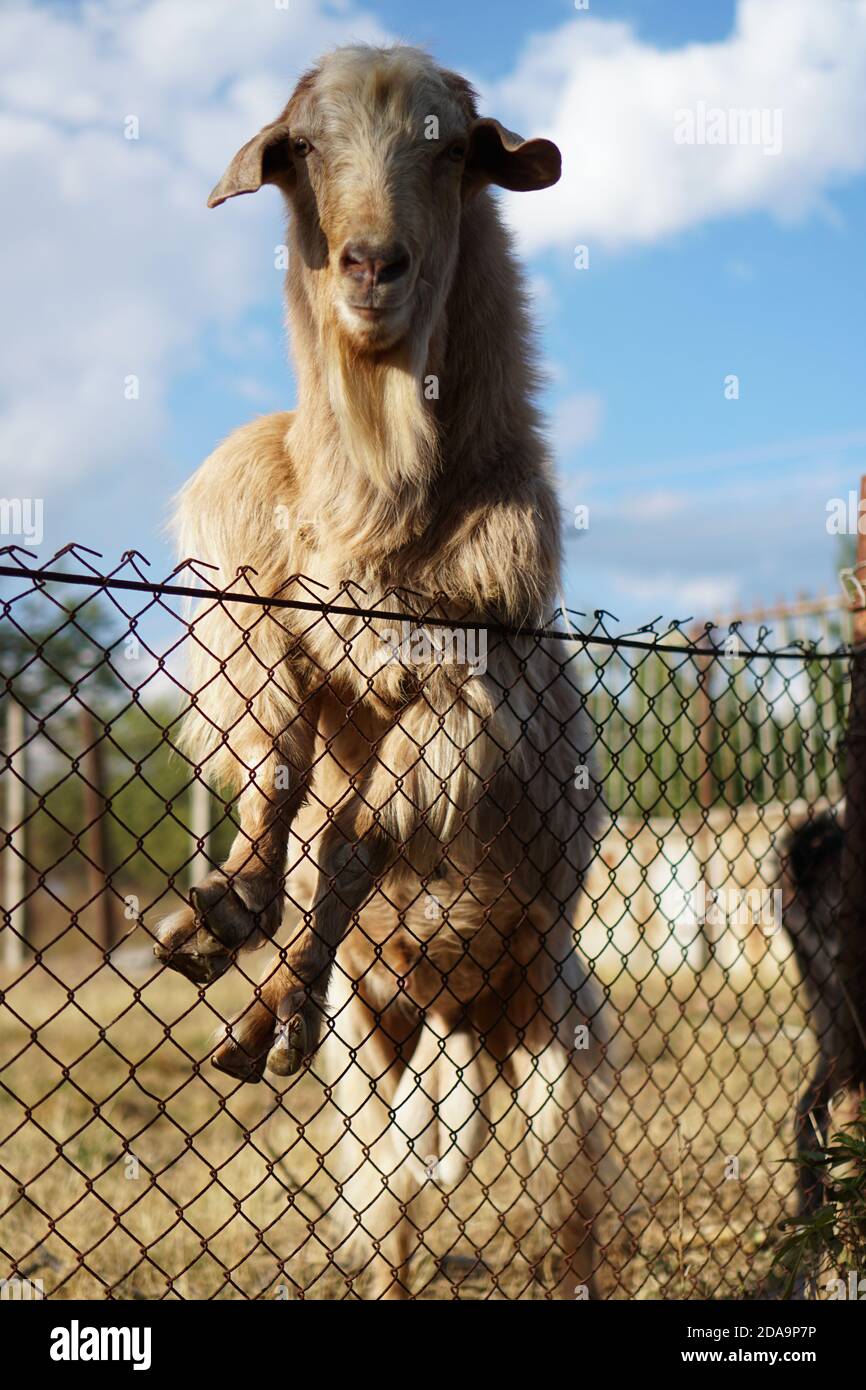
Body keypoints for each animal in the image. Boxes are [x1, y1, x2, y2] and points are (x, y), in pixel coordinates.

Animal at [153, 44, 631, 1298]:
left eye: (451, 147)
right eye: (298, 148)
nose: (370, 264)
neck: (374, 509)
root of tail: (463, 1016)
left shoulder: (464, 684)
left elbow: (353, 836)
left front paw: (265, 953)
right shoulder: (251, 599)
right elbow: (278, 760)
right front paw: (232, 903)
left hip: (559, 1022)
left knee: (571, 1218)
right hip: (379, 1061)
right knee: (388, 1212)